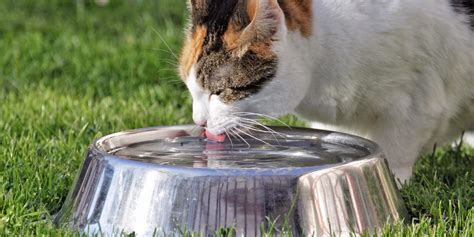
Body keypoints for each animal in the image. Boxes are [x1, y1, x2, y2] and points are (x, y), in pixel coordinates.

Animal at [178, 0, 474, 183]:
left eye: (220, 92)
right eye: (191, 89)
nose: (198, 121)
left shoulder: (416, 101)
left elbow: (396, 150)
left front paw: (395, 181)